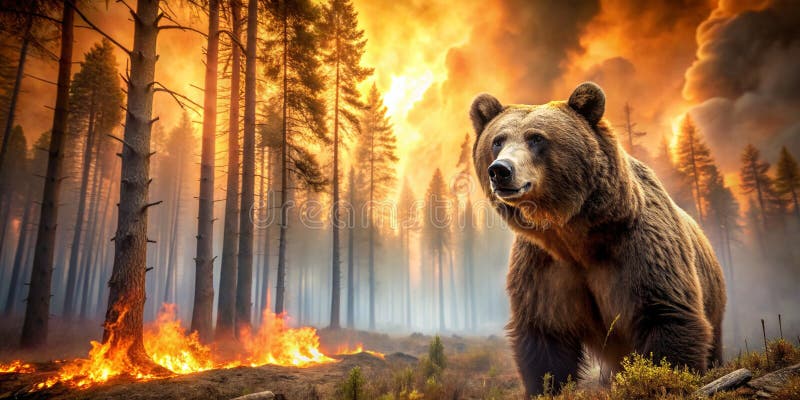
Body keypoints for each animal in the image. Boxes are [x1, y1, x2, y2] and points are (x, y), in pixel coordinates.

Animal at [469, 82, 726, 396]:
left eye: (536, 138)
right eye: (498, 140)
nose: (501, 170)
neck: (575, 237)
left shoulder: (639, 249)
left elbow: (665, 315)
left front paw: (666, 379)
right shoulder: (544, 267)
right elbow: (544, 337)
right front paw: (546, 387)